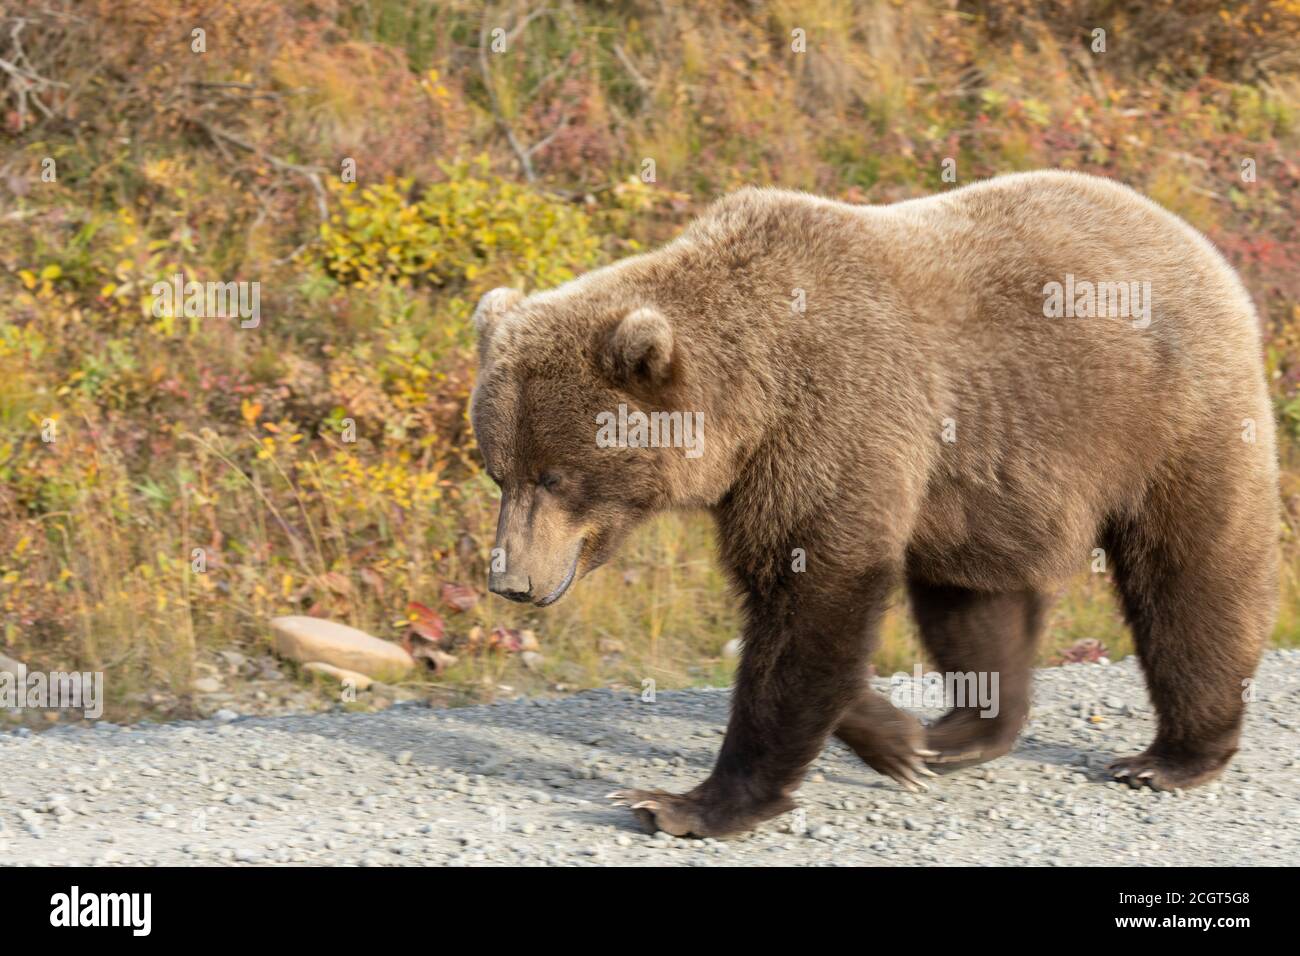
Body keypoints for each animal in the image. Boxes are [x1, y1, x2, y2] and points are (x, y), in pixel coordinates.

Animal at [469, 170, 1279, 838]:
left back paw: (1172, 755)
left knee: (1193, 576)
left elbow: (815, 595)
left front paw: (685, 804)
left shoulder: (834, 420)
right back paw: (963, 732)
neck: (753, 398)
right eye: (498, 471)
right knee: (973, 596)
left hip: (1169, 415)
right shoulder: (776, 470)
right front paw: (895, 736)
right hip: (985, 482)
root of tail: (1195, 240)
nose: (510, 580)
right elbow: (800, 609)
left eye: (554, 476)